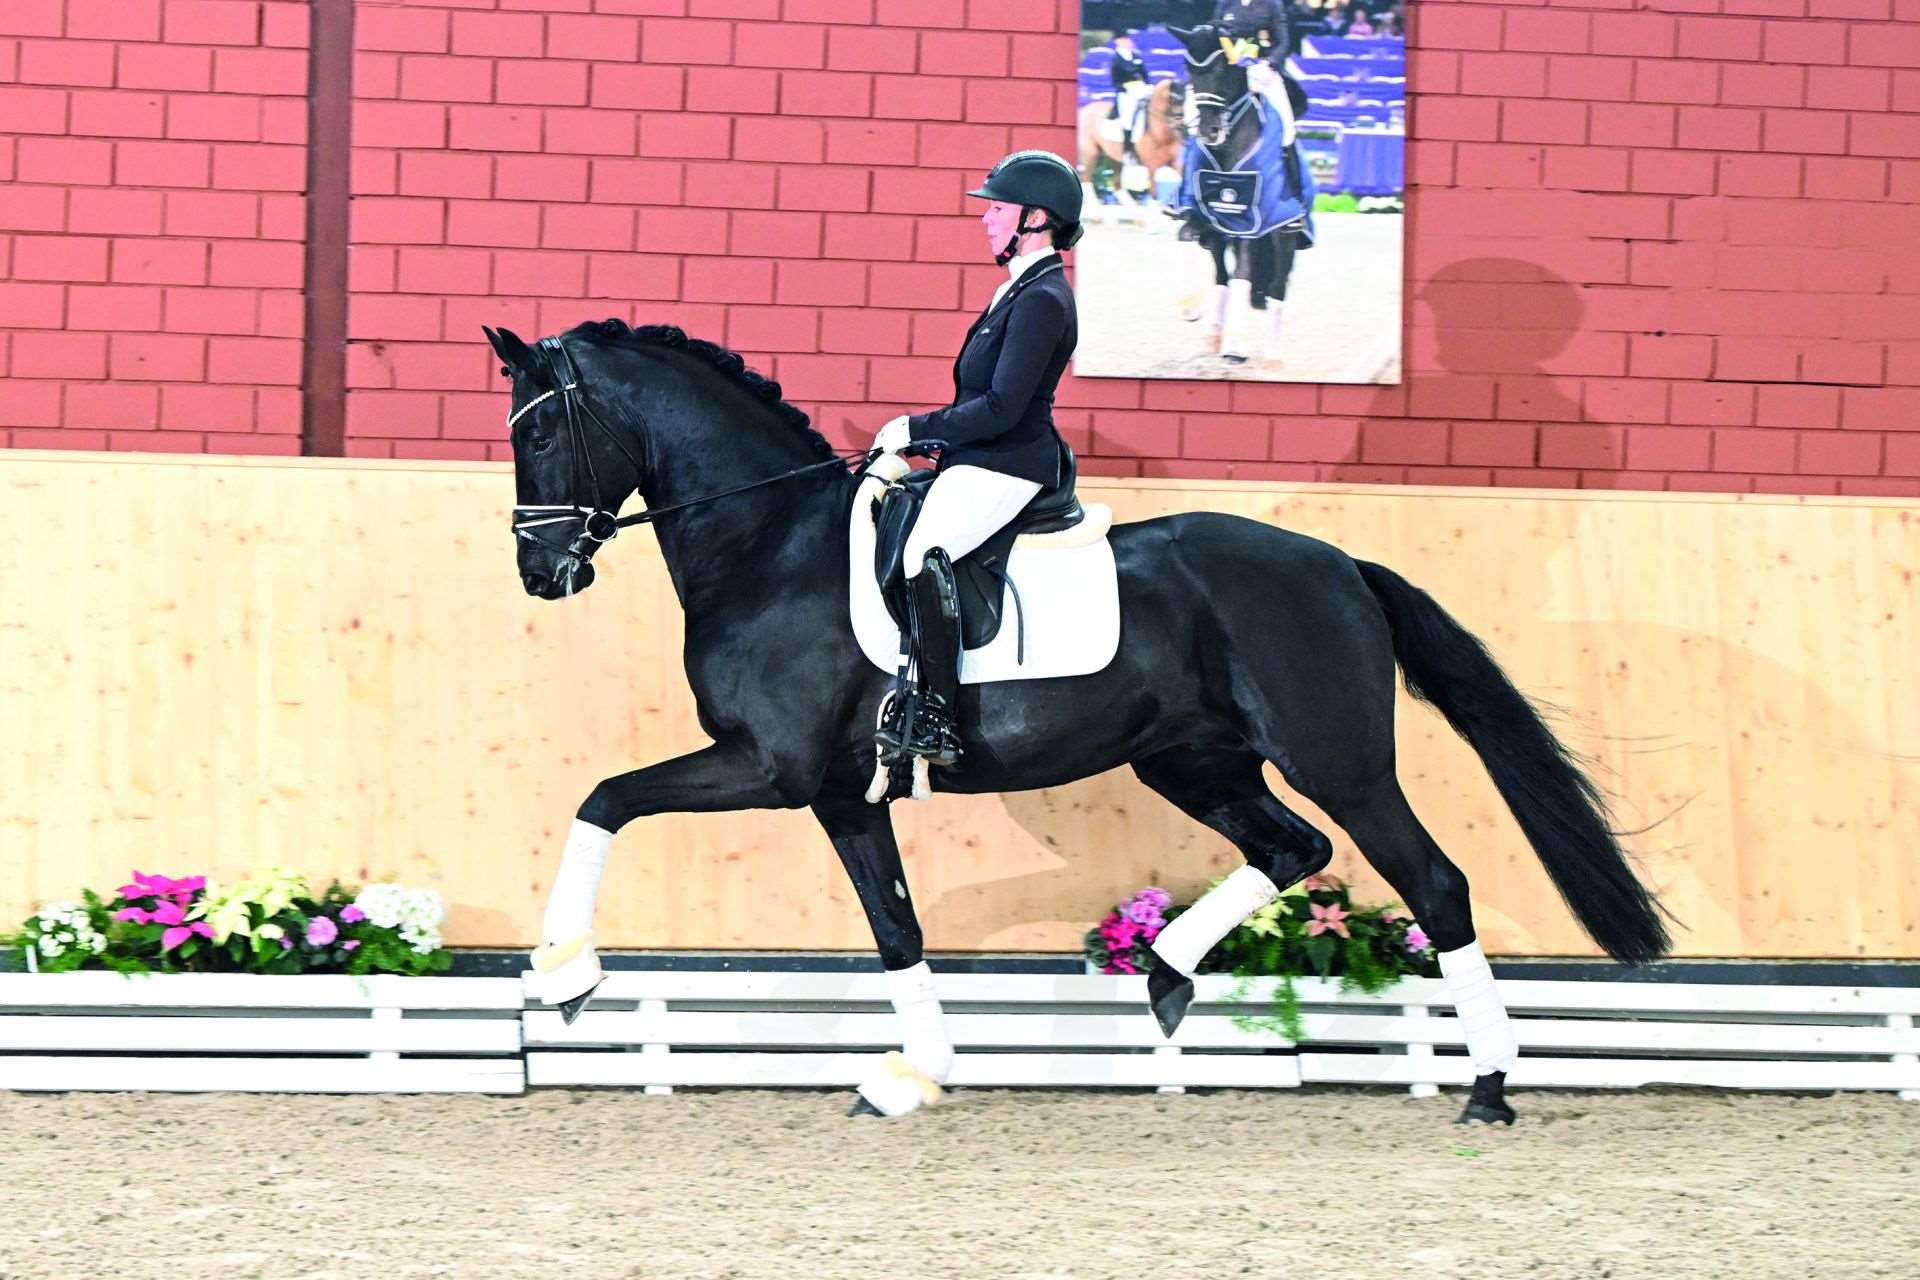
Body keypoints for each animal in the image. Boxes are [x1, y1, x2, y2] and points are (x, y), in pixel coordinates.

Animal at [486, 319, 1672, 1125]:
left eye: (542, 433)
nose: (542, 573)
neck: (770, 543)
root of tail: (1341, 564)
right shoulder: (836, 792)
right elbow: (897, 930)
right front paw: (916, 1072)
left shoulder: (767, 767)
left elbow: (604, 798)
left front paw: (566, 972)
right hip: (1193, 760)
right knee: (1295, 848)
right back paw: (1167, 973)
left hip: (1337, 760)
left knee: (1431, 882)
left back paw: (1488, 1084)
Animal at [1169, 24, 1314, 366]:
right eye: (1189, 70)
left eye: (1222, 69)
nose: (1208, 131)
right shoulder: (1213, 223)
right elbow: (1219, 273)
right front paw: (1201, 321)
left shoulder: (1251, 223)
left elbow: (1243, 275)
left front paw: (1234, 346)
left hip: (1285, 234)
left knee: (1277, 284)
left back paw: (1272, 355)